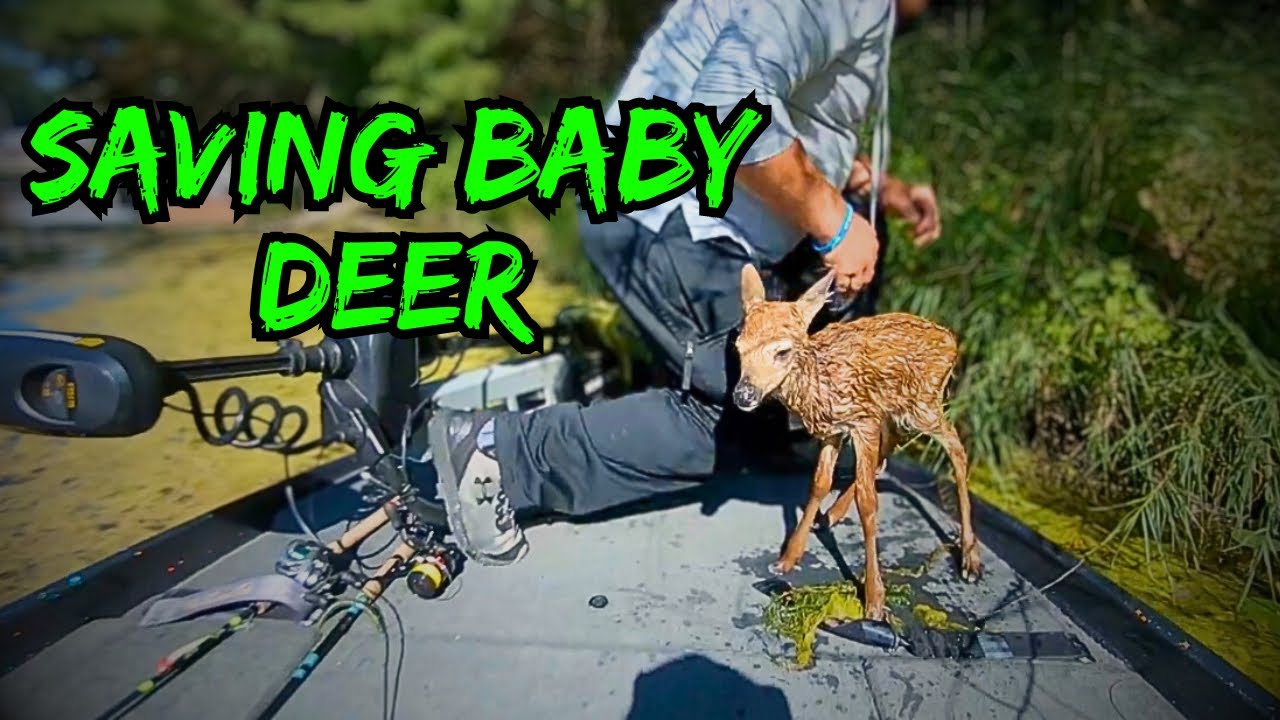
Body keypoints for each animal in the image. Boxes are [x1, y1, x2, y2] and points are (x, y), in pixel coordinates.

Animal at [732, 264, 981, 621]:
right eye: (738, 347)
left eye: (782, 351)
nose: (744, 395)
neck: (819, 382)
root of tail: (951, 338)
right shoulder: (836, 429)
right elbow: (819, 483)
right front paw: (788, 558)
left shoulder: (863, 423)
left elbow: (868, 503)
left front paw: (875, 599)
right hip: (894, 411)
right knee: (891, 450)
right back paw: (831, 515)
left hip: (924, 405)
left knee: (957, 449)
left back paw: (970, 558)